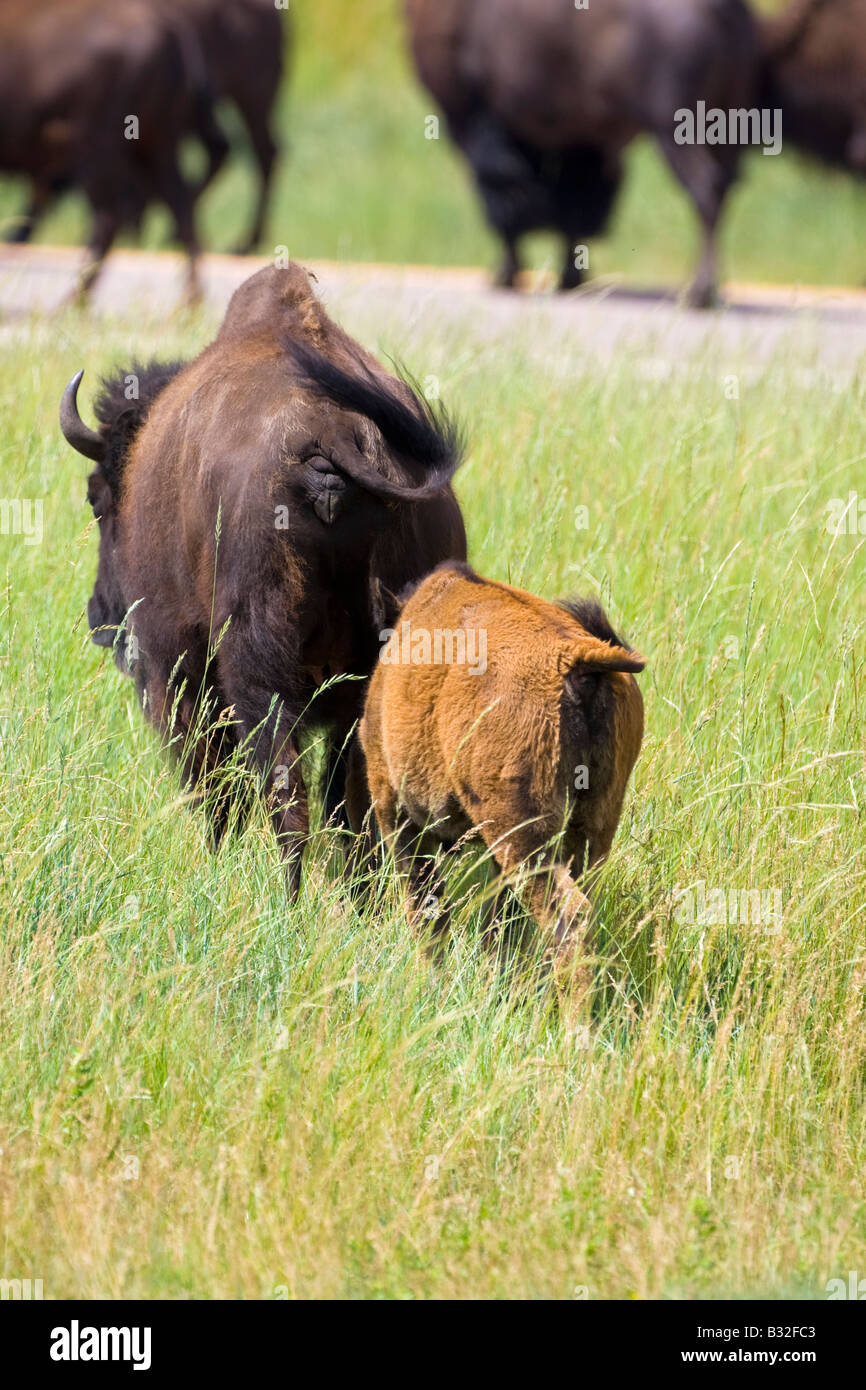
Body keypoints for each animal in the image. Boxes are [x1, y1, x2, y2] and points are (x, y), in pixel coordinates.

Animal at [60, 262, 467, 893]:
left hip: (255, 666)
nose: (101, 619)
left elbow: (213, 776)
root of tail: (339, 434)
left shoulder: (180, 664)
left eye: (98, 497)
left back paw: (290, 895)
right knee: (359, 800)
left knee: (284, 787)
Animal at [361, 562, 646, 1010]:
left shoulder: (397, 813)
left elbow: (426, 908)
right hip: (588, 830)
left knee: (568, 916)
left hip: (523, 834)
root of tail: (580, 664)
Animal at [405, 0, 760, 306]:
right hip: (724, 126)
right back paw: (714, 290)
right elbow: (575, 206)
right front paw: (570, 278)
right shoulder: (582, 141)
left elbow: (507, 199)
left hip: (675, 129)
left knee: (705, 190)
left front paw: (506, 275)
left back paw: (698, 293)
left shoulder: (470, 117)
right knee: (722, 190)